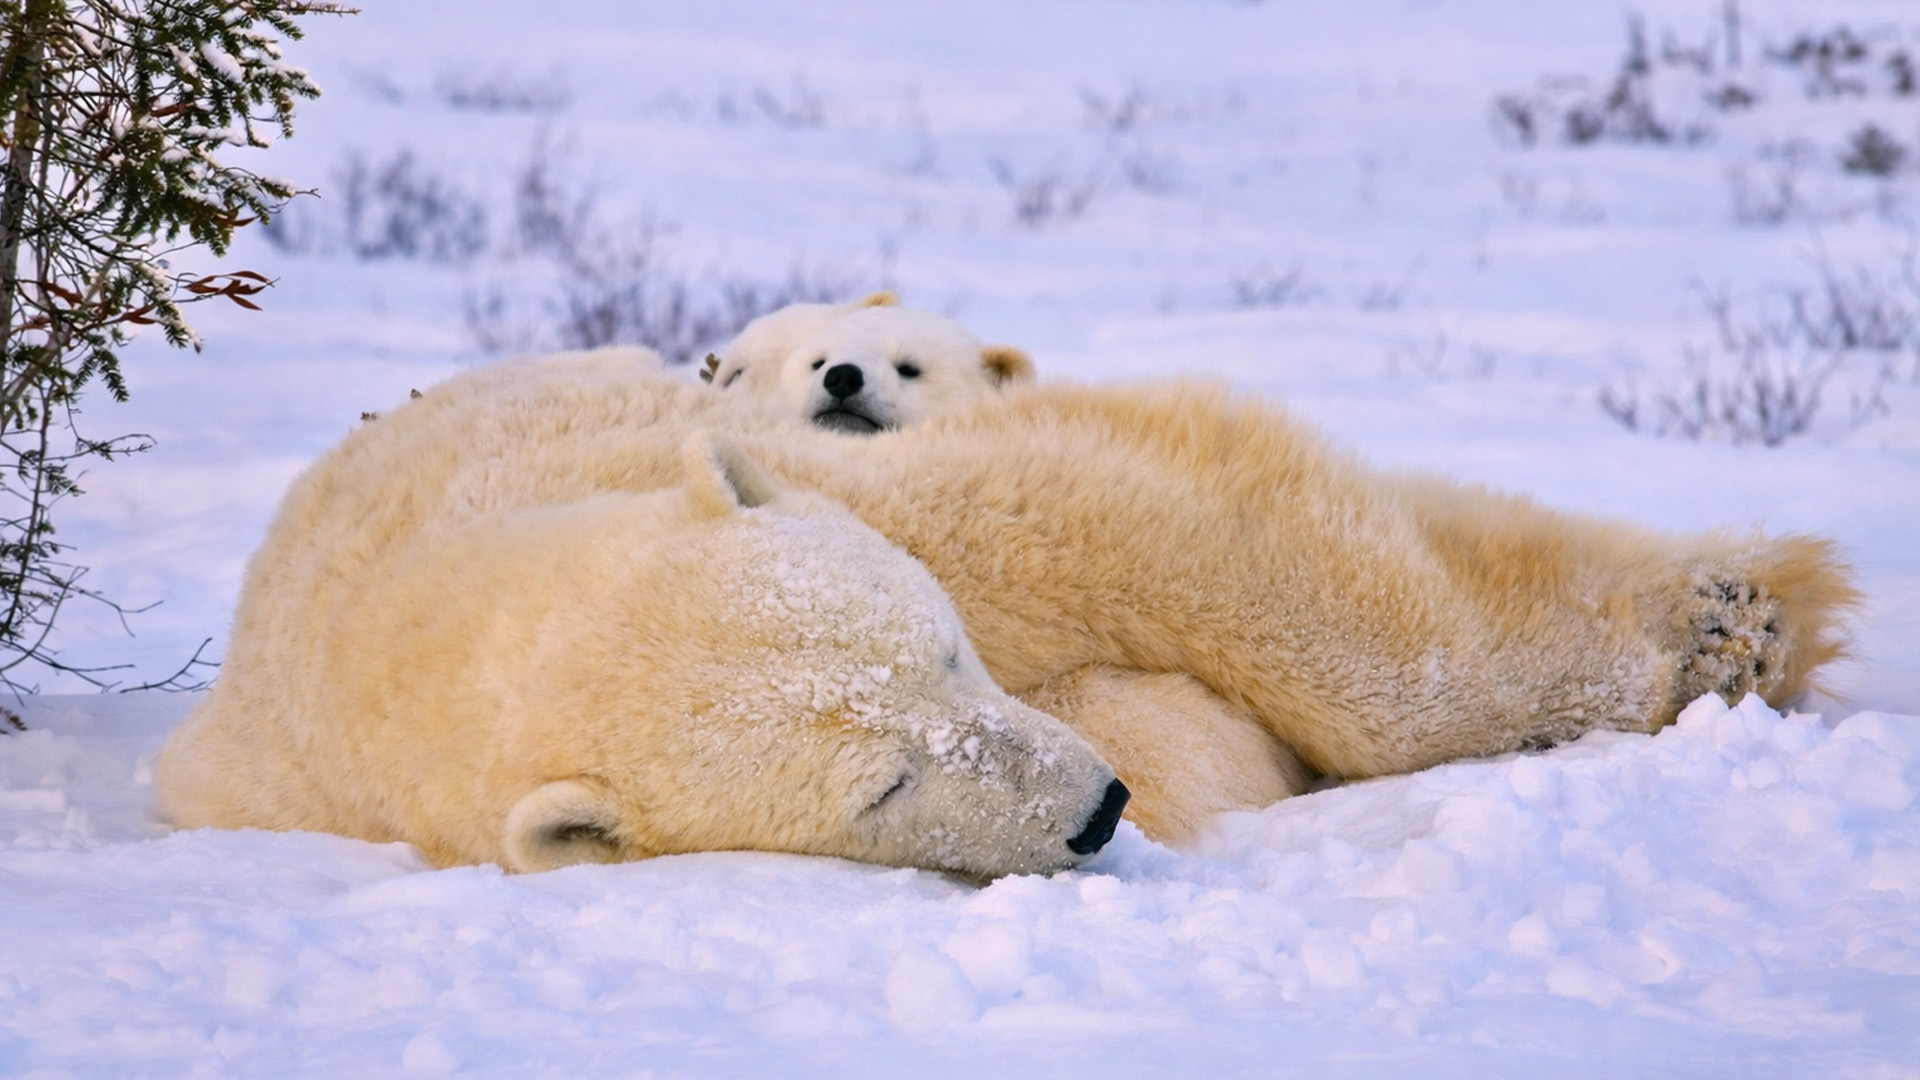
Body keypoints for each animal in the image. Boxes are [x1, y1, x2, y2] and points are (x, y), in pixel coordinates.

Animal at [157, 347, 1857, 868]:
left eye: (945, 649)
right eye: (886, 784)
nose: (1092, 810)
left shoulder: (761, 465)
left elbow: (1133, 521)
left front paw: (1735, 625)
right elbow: (1186, 729)